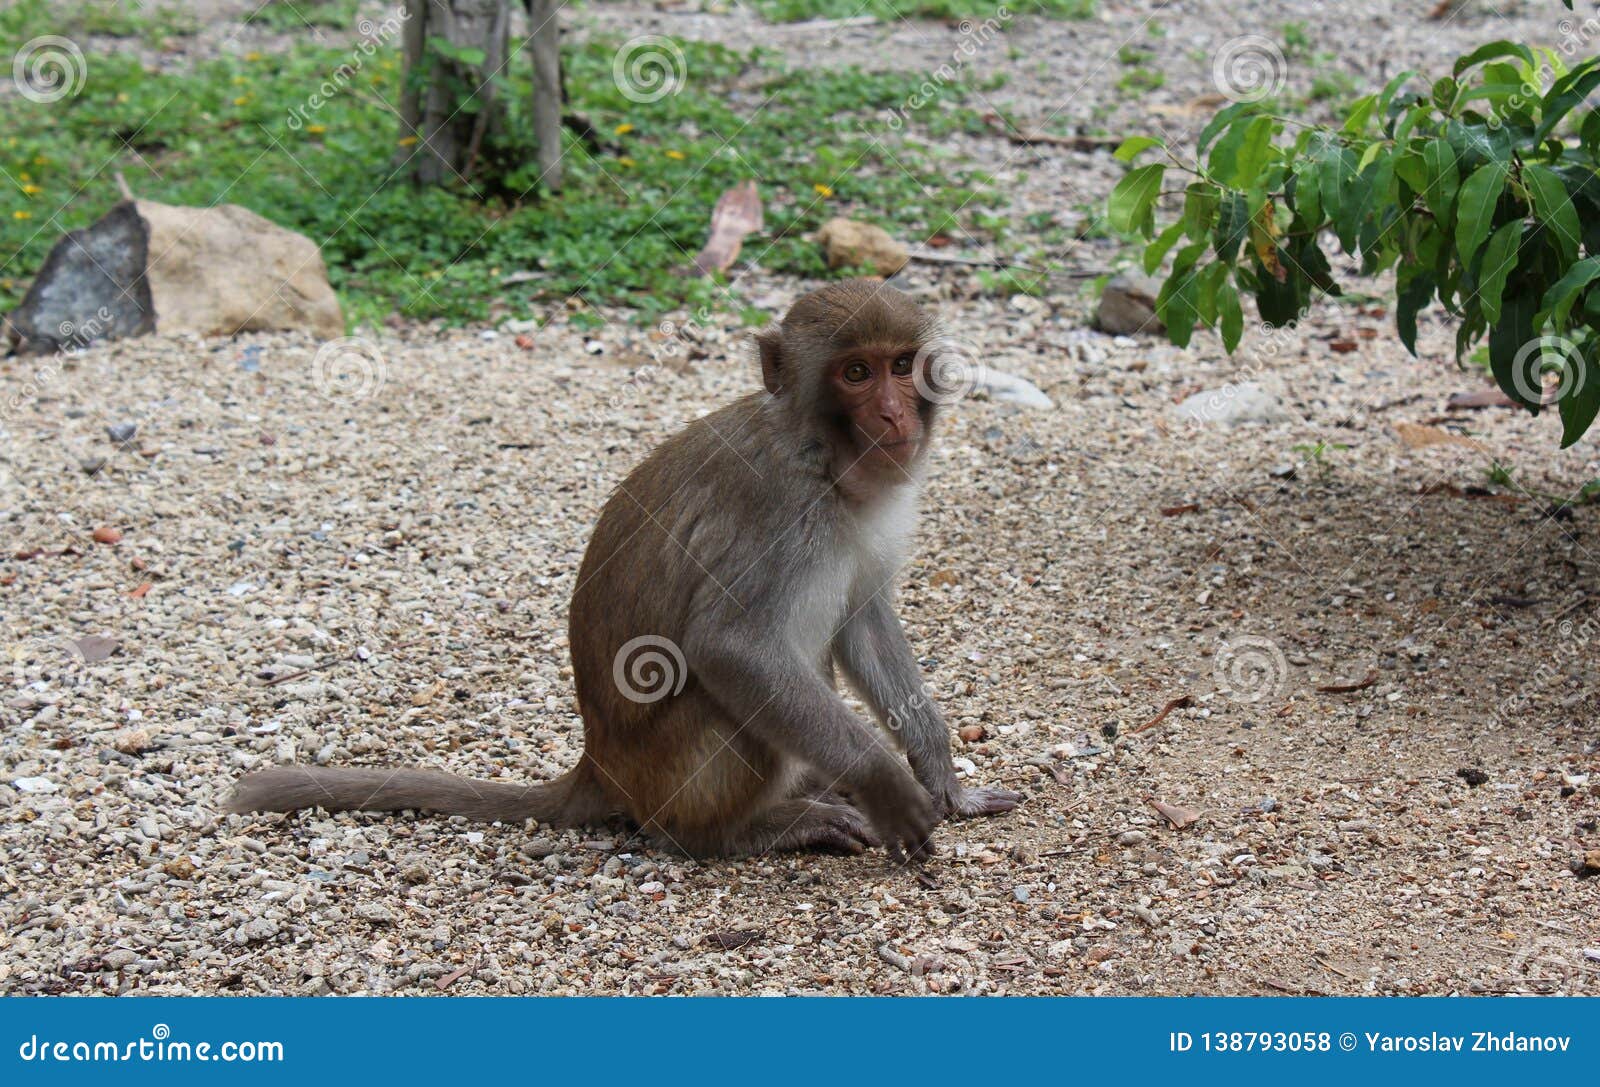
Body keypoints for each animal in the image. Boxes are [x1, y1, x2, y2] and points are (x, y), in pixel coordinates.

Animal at [228, 279, 1022, 860]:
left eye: (899, 365)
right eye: (856, 373)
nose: (894, 418)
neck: (822, 461)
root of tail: (599, 764)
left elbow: (862, 622)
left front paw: (939, 775)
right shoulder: (775, 514)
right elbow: (728, 646)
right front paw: (885, 783)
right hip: (669, 776)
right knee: (718, 708)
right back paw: (749, 828)